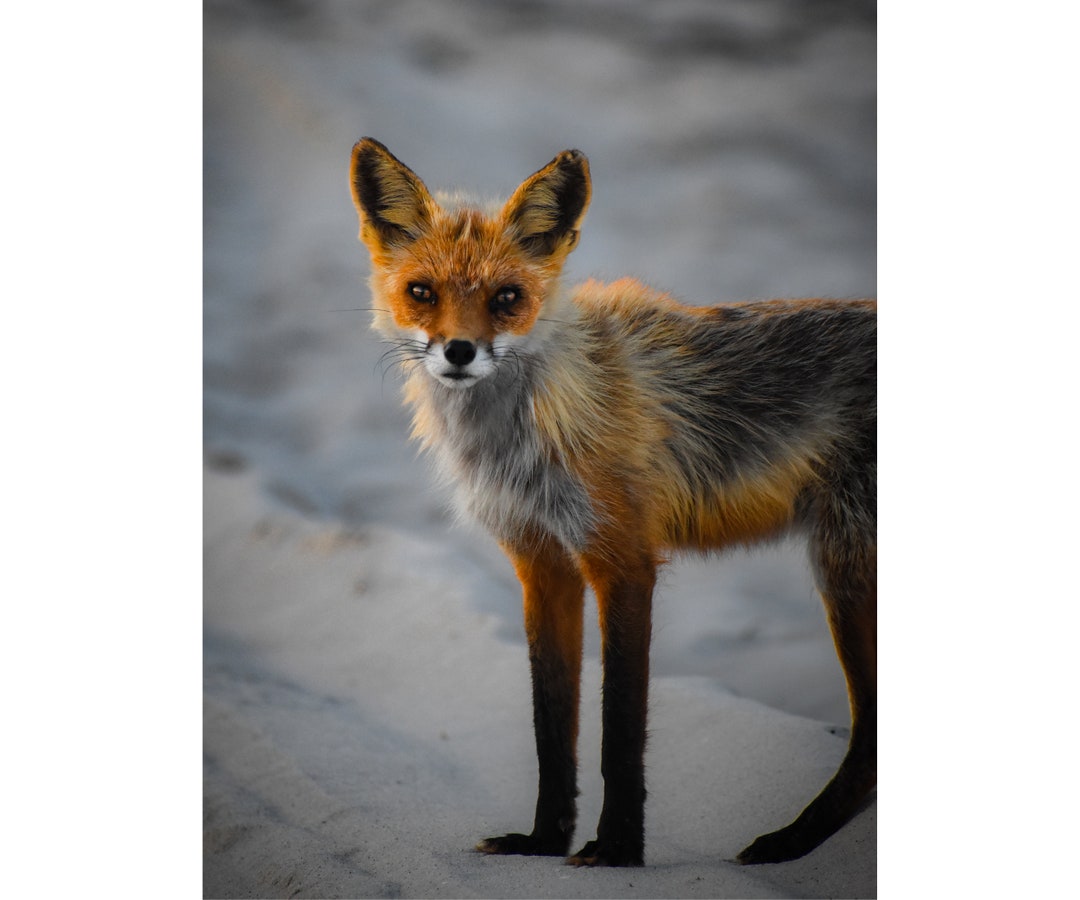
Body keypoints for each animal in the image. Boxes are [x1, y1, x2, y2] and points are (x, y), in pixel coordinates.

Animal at [348, 137, 876, 867]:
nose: (459, 352)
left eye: (507, 297)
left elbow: (618, 727)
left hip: (843, 569)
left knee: (869, 742)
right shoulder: (542, 562)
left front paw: (619, 848)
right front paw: (543, 841)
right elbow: (551, 725)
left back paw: (788, 841)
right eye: (421, 293)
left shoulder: (622, 558)